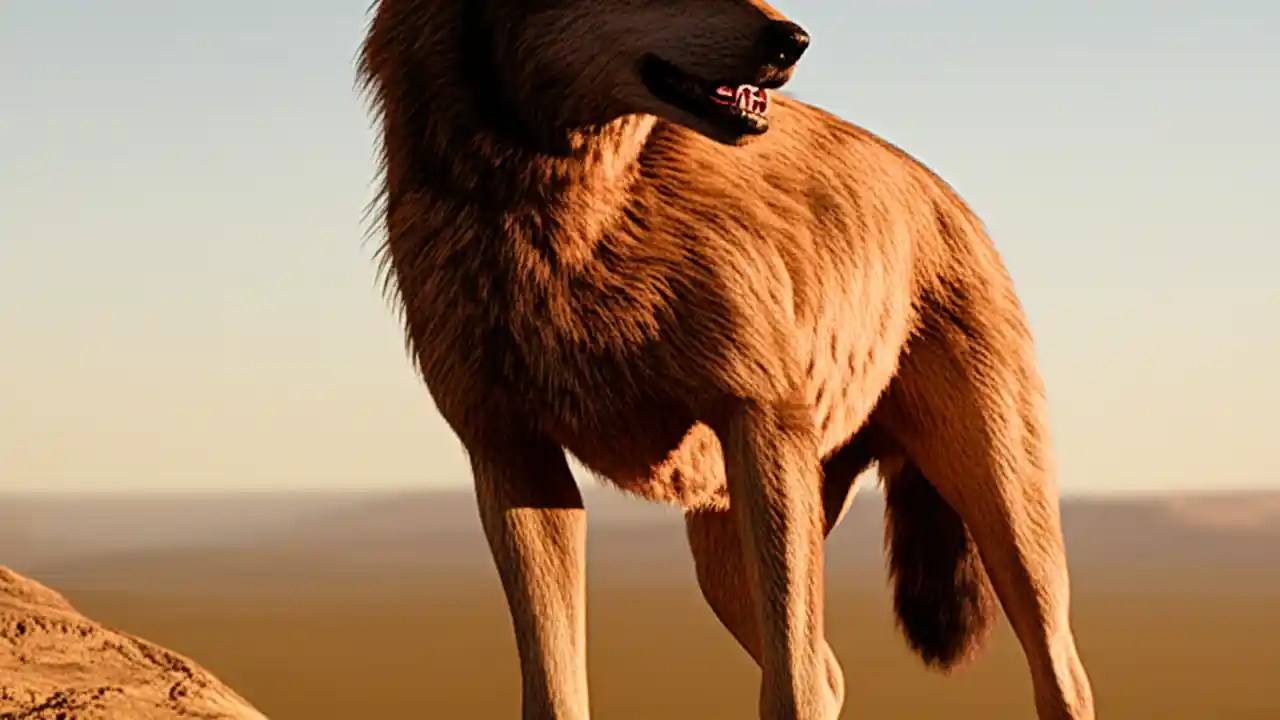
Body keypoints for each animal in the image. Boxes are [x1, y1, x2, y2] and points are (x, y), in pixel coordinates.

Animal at [357, 0, 1096, 717]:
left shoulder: (761, 422)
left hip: (1003, 516)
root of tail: (949, 198)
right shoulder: (512, 456)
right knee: (828, 671)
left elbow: (791, 690)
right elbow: (554, 690)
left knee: (1059, 676)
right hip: (726, 556)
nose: (792, 41)